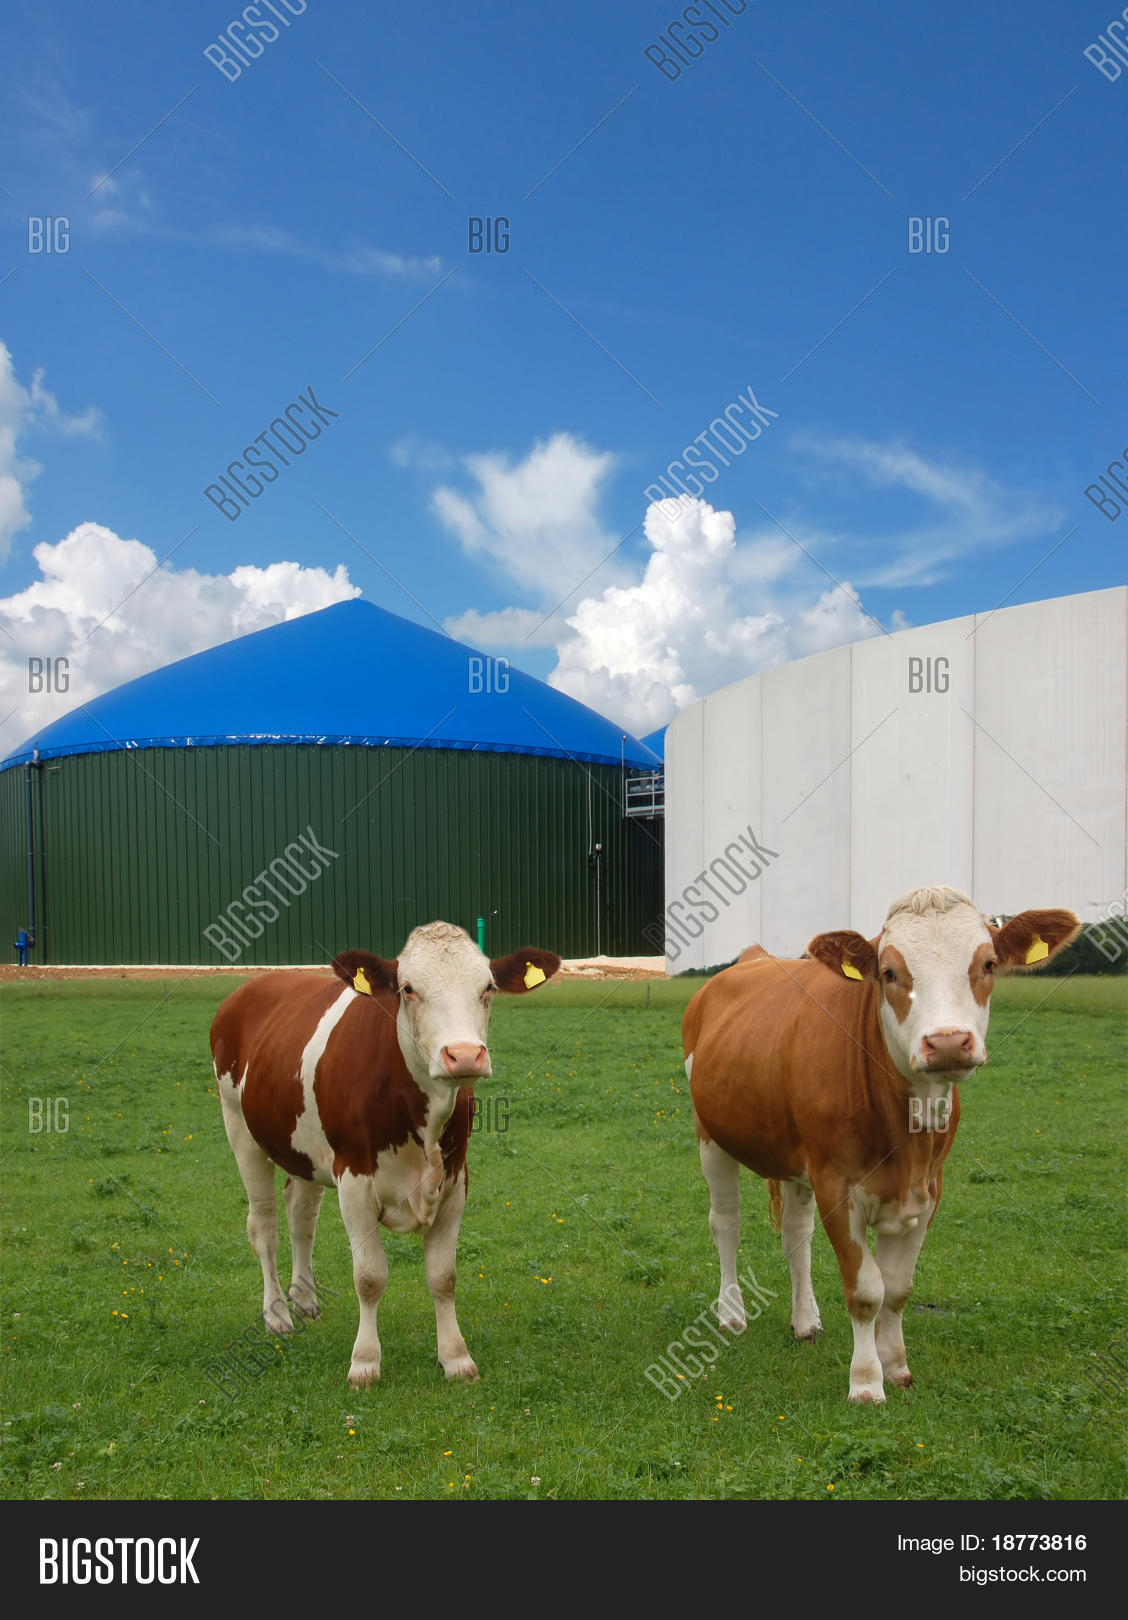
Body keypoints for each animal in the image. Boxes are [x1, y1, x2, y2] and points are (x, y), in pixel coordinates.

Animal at [210, 922, 560, 1386]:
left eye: (487, 987)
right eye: (407, 988)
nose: (464, 1055)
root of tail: (253, 985)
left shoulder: (456, 1179)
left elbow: (443, 1276)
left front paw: (455, 1357)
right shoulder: (354, 1179)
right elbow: (370, 1277)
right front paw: (365, 1362)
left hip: (303, 1147)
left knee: (301, 1215)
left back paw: (304, 1297)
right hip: (241, 1129)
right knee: (264, 1224)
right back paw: (277, 1314)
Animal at [683, 887, 1080, 1403]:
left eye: (989, 963)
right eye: (889, 972)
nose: (947, 1042)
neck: (906, 1136)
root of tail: (752, 957)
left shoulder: (928, 1189)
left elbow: (898, 1288)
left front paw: (896, 1367)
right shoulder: (836, 1185)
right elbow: (866, 1291)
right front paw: (866, 1382)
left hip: (796, 1157)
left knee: (795, 1232)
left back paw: (805, 1321)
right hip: (710, 1135)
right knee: (725, 1222)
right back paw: (731, 1313)